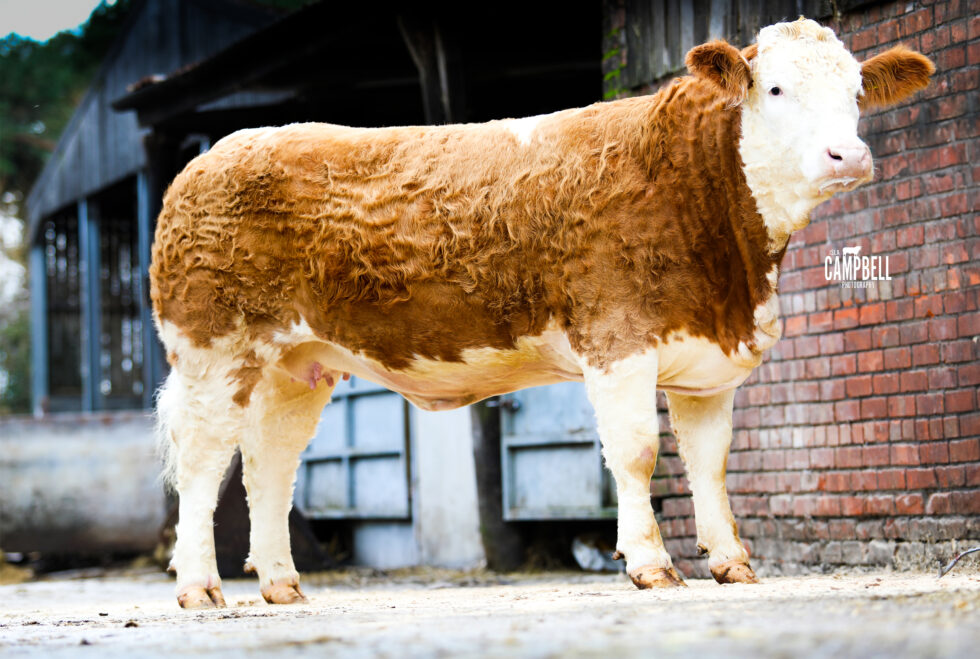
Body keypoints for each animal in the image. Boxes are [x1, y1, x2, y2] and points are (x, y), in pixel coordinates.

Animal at [151, 18, 933, 608]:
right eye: (774, 88)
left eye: (857, 93)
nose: (847, 155)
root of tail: (218, 152)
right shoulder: (617, 339)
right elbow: (639, 452)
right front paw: (651, 565)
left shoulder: (708, 363)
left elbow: (710, 466)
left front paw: (732, 562)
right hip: (214, 352)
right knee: (202, 463)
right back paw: (200, 588)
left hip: (294, 367)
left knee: (268, 467)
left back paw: (281, 583)